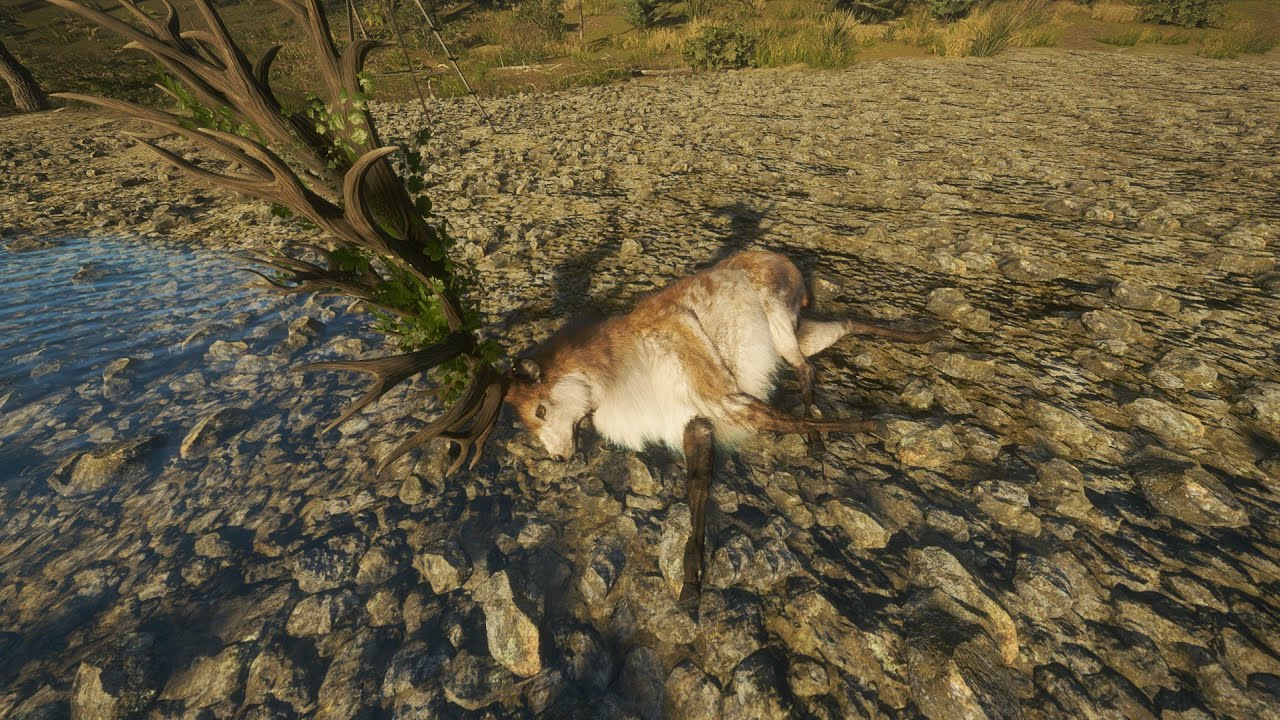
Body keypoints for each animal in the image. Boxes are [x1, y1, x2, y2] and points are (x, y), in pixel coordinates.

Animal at [505, 249, 942, 604]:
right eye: (531, 421)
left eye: (540, 410)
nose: (559, 457)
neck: (621, 366)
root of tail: (780, 259)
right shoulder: (695, 423)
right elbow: (698, 488)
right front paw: (691, 581)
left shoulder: (723, 398)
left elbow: (778, 421)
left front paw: (872, 425)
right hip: (797, 332)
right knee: (832, 341)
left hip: (780, 326)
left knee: (808, 364)